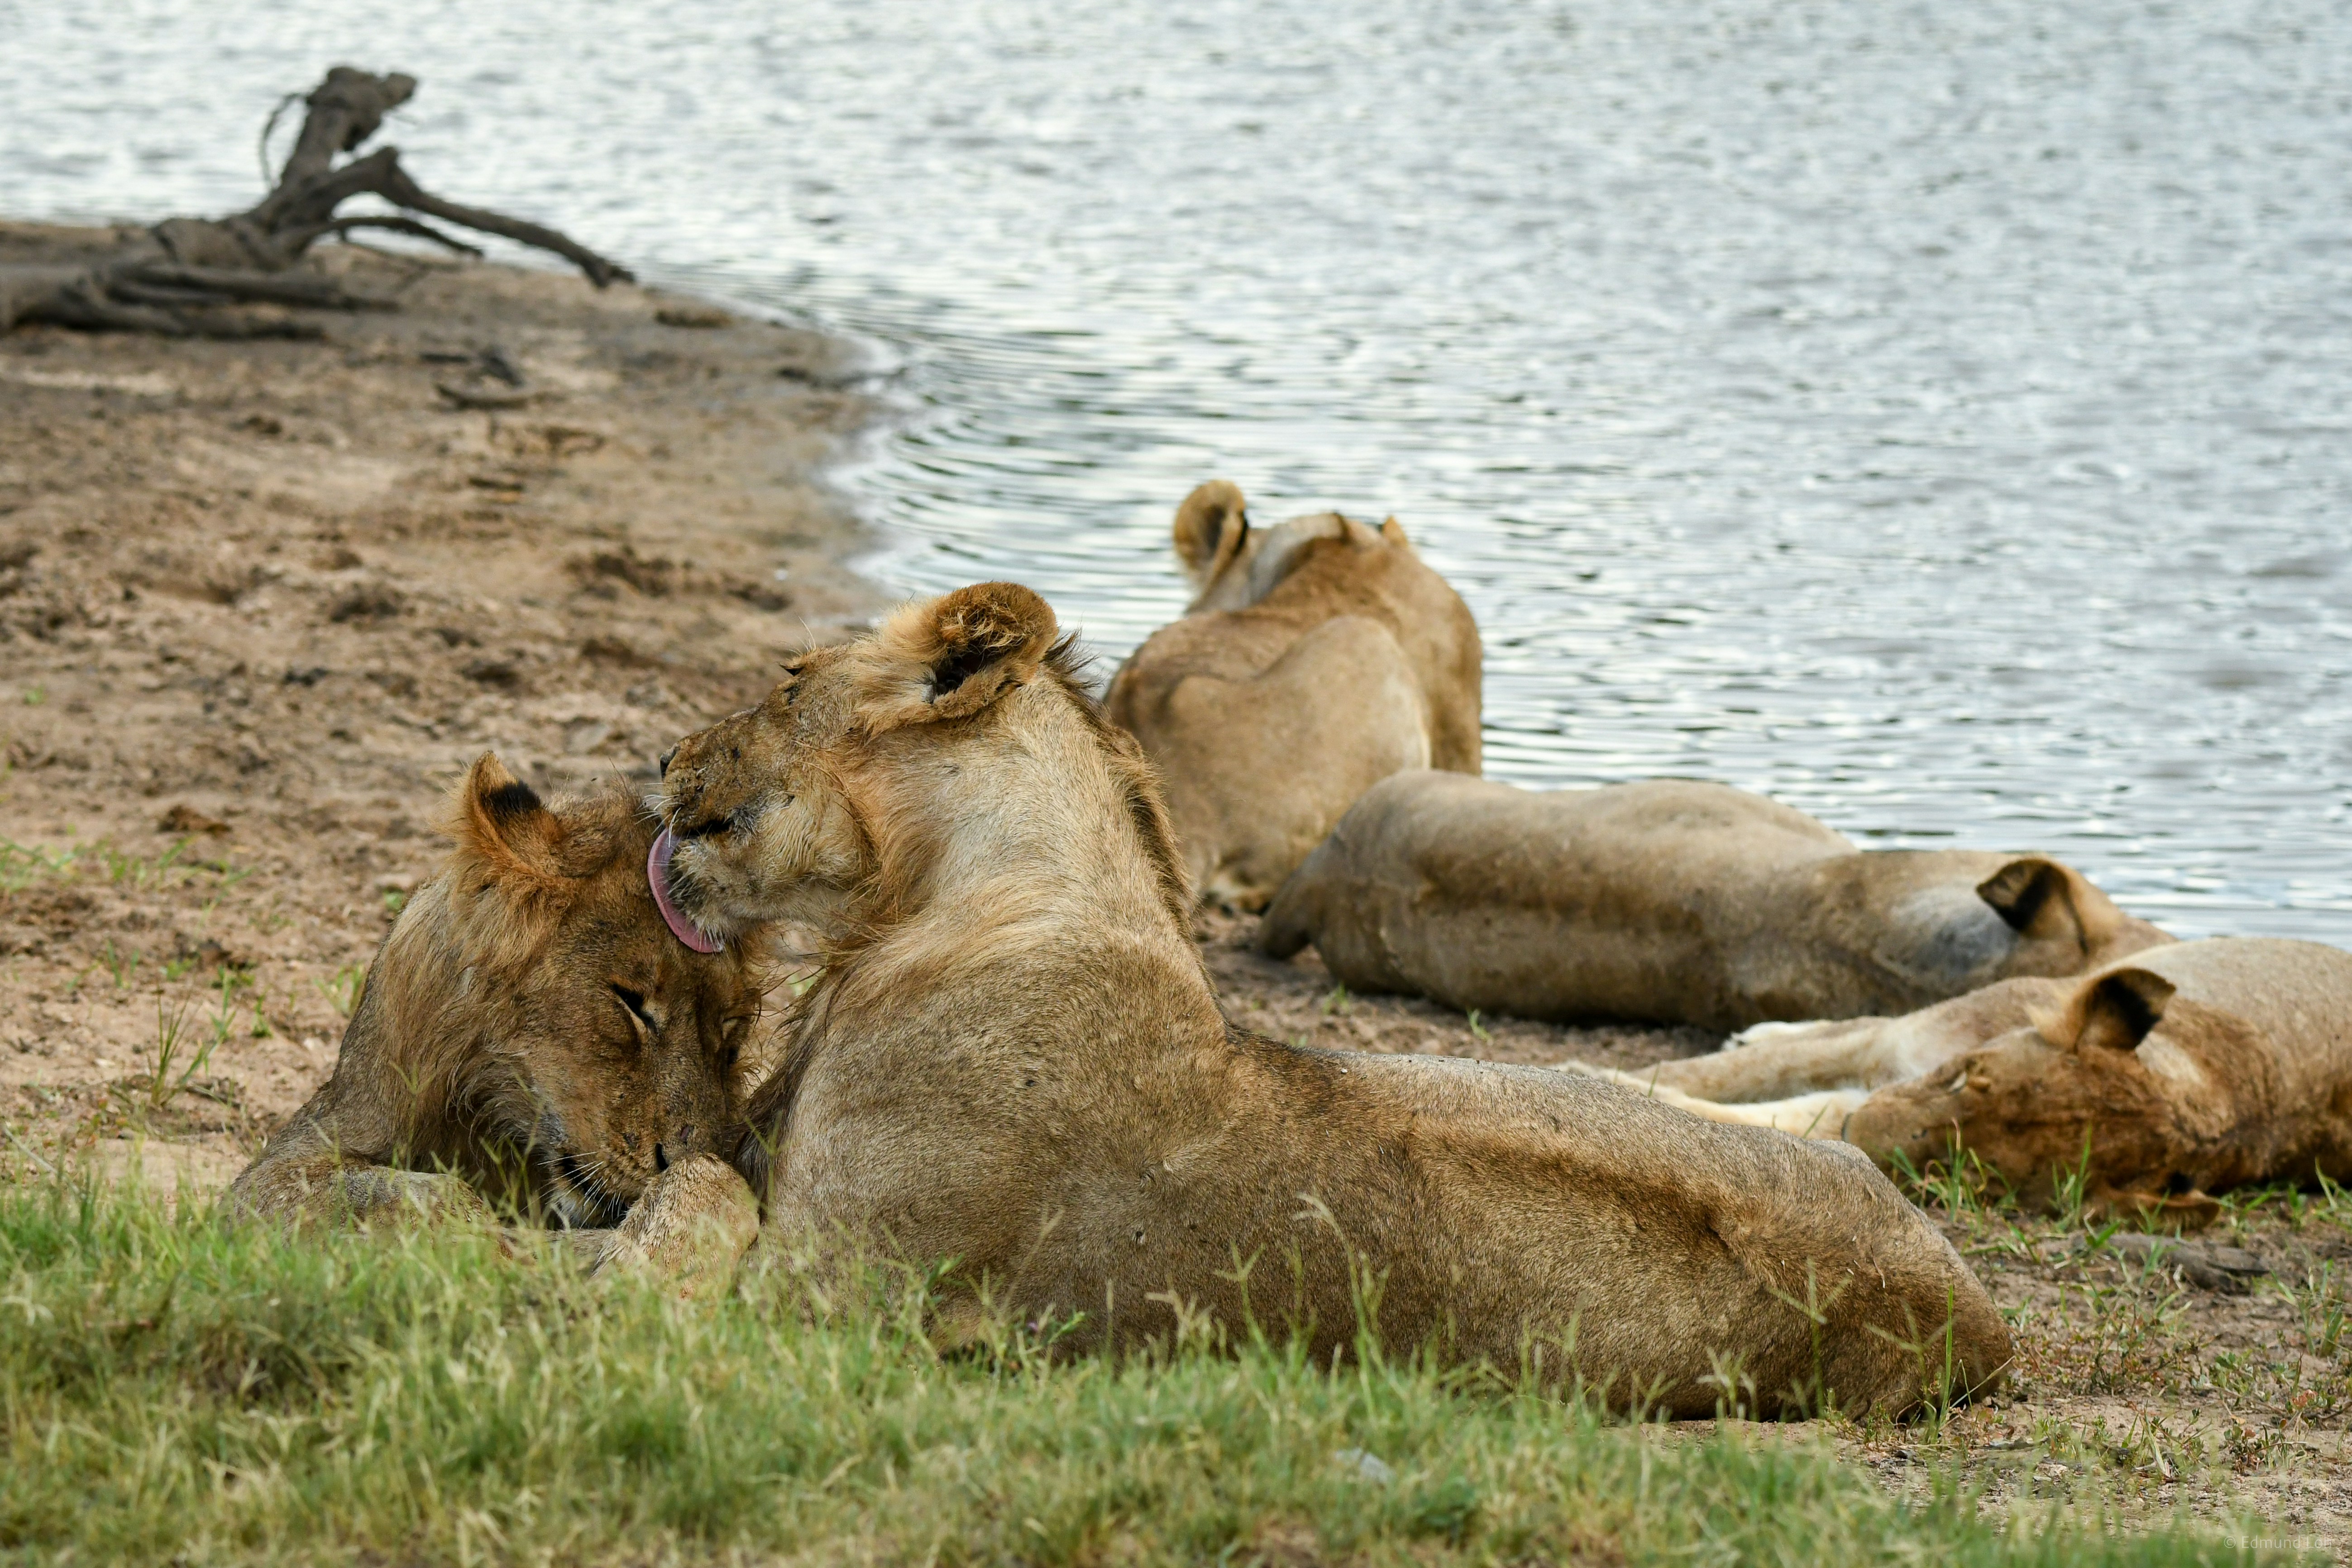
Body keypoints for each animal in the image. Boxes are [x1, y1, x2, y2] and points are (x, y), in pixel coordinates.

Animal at [226, 754, 762, 1281]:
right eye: (630, 1002)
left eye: (729, 1025)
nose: (681, 1155)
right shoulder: (276, 1170)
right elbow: (409, 1191)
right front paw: (488, 1255)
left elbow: (716, 1179)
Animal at [646, 582, 2008, 1416]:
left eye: (787, 681)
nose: (658, 757)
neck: (919, 912)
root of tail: (1980, 1311)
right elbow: (693, 1177)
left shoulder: (828, 1302)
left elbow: (689, 1204)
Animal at [1582, 937, 2352, 1224]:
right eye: (1966, 1077)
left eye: (1970, 1173)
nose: (1863, 1129)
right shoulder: (1903, 1042)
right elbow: (1725, 1071)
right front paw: (1591, 1073)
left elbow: (1779, 1113)